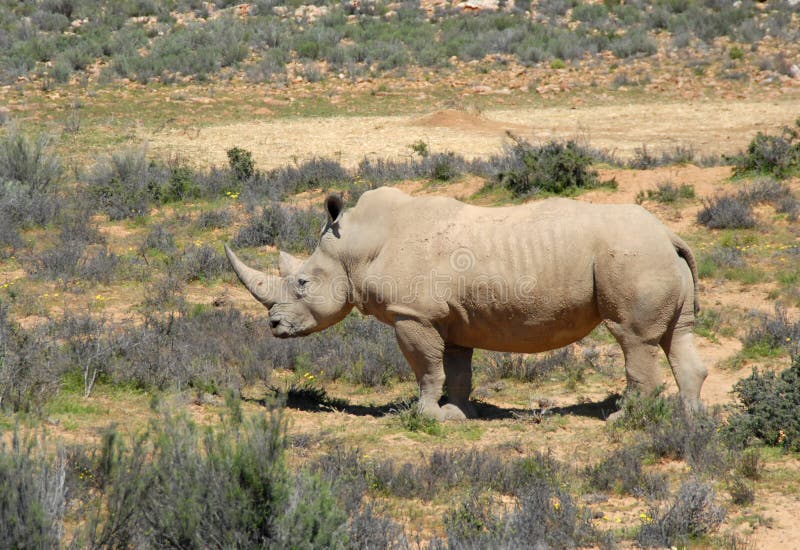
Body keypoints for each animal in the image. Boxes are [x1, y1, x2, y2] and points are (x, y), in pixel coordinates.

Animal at [225, 187, 706, 420]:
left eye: (302, 283)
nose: (274, 326)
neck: (355, 248)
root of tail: (668, 233)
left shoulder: (412, 314)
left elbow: (425, 368)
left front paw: (426, 417)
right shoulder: (451, 319)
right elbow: (456, 369)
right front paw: (460, 414)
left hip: (632, 255)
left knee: (633, 338)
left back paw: (624, 421)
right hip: (653, 255)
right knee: (677, 335)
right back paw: (689, 420)